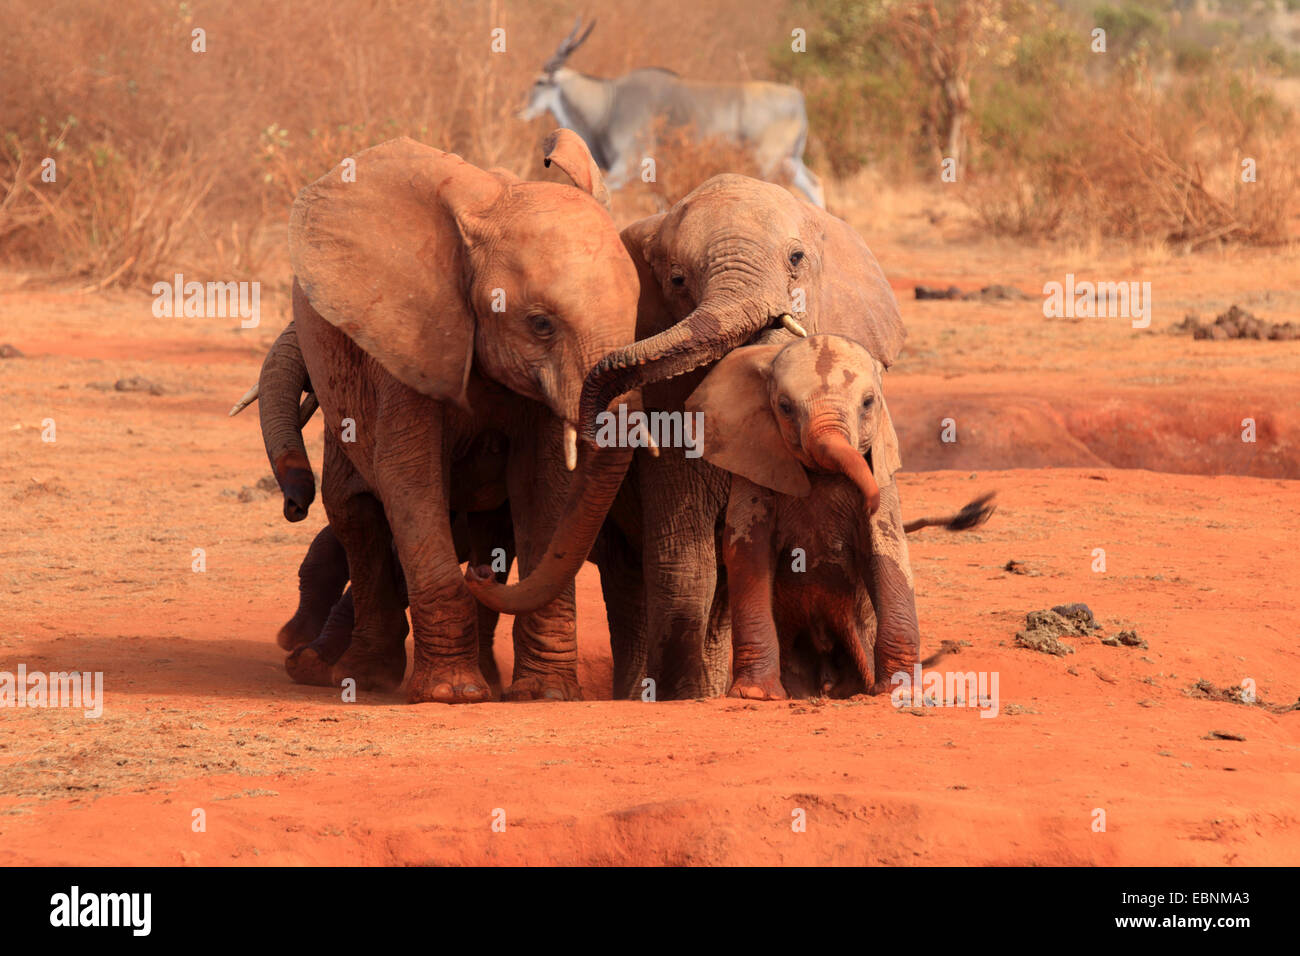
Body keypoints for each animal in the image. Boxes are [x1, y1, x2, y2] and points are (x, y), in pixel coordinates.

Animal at [254, 131, 641, 703]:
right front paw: (451, 694)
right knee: (356, 512)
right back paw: (363, 677)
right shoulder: (406, 337)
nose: (477, 577)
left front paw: (545, 695)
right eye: (541, 324)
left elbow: (543, 485)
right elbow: (410, 478)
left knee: (489, 523)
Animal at [468, 173, 915, 700]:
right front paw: (681, 696)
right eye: (678, 280)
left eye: (797, 259)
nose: (476, 572)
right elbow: (684, 556)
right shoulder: (668, 402)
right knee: (633, 581)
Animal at [685, 333, 994, 699]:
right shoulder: (754, 469)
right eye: (785, 407)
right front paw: (756, 695)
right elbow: (748, 554)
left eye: (869, 403)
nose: (975, 509)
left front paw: (899, 692)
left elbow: (886, 549)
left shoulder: (882, 475)